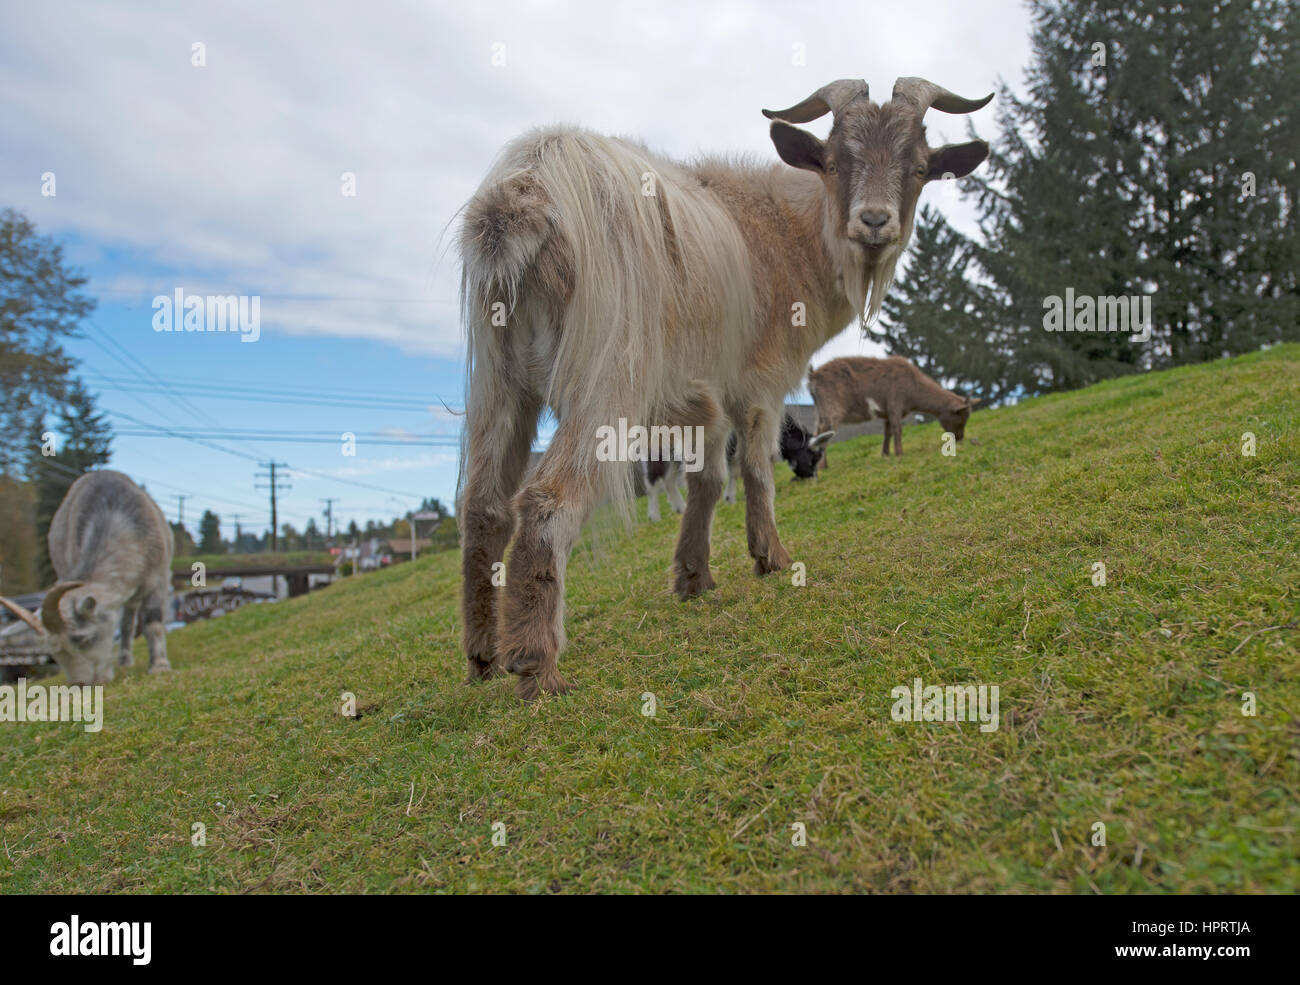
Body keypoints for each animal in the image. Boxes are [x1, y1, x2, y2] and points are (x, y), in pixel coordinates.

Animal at [0, 470, 173, 684]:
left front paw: (159, 666)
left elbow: (153, 623)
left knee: (127, 621)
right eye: (53, 651)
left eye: (84, 639)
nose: (80, 684)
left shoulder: (159, 575)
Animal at [809, 355, 981, 458]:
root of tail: (813, 376)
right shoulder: (895, 404)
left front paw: (885, 455)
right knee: (824, 432)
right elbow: (898, 429)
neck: (913, 386)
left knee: (816, 432)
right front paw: (900, 453)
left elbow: (888, 432)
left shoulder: (887, 412)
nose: (959, 438)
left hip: (820, 411)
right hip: (832, 407)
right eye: (960, 418)